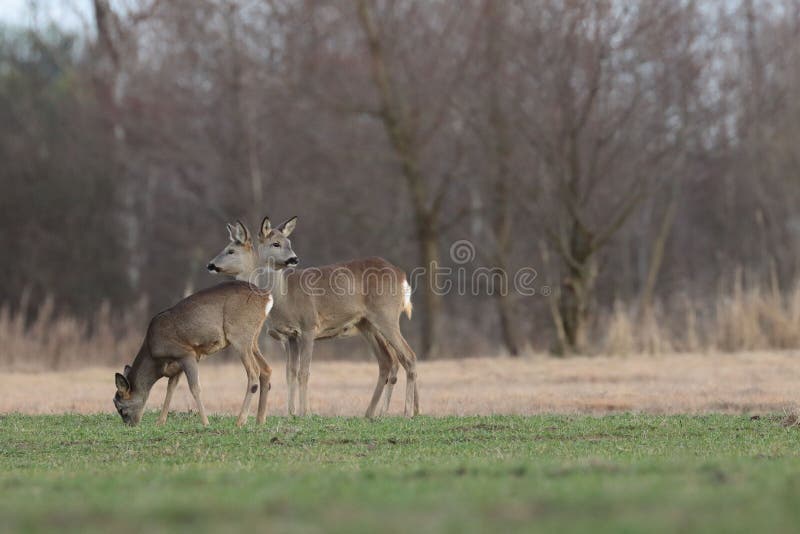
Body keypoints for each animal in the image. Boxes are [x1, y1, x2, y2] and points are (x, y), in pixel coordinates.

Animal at [113, 280, 274, 427]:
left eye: (121, 409)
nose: (130, 425)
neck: (154, 357)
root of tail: (267, 297)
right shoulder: (177, 364)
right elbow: (170, 388)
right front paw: (160, 422)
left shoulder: (186, 353)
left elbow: (195, 388)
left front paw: (206, 423)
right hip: (253, 338)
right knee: (266, 369)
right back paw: (260, 421)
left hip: (239, 334)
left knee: (254, 372)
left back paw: (240, 421)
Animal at [206, 218, 418, 418]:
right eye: (276, 243)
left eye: (287, 242)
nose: (211, 265)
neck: (284, 298)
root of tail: (401, 275)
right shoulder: (289, 336)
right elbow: (290, 372)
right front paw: (290, 412)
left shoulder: (309, 327)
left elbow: (304, 371)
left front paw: (304, 412)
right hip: (366, 324)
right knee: (388, 361)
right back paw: (375, 413)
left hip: (386, 316)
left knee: (408, 356)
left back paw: (407, 412)